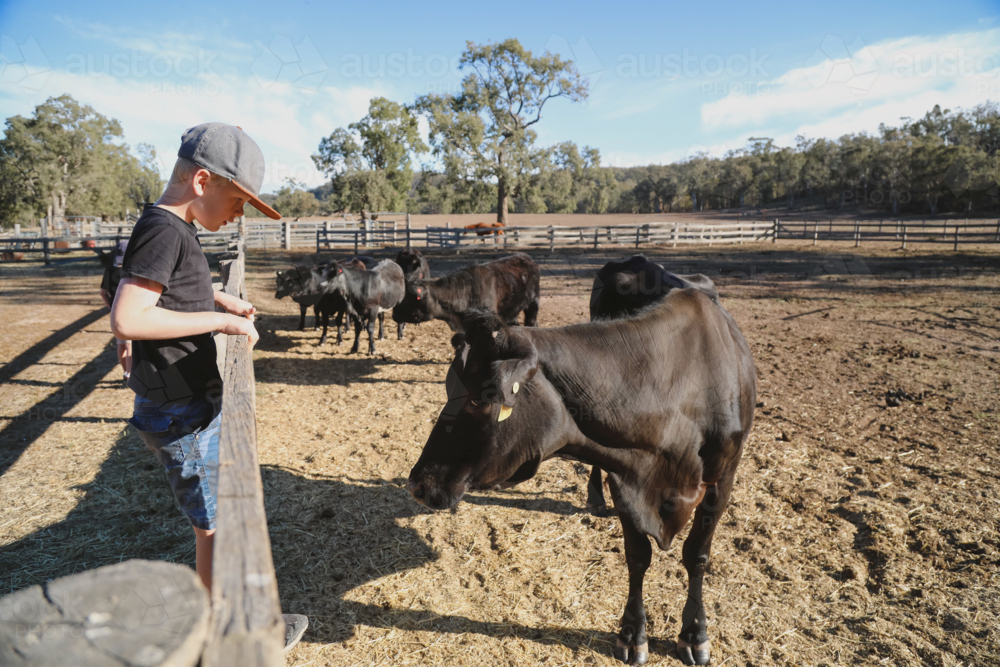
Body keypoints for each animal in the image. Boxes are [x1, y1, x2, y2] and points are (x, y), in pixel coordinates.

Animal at [407, 298, 756, 666]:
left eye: (476, 399)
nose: (417, 484)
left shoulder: (723, 479)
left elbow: (696, 555)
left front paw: (695, 634)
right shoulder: (623, 480)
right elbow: (637, 556)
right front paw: (632, 634)